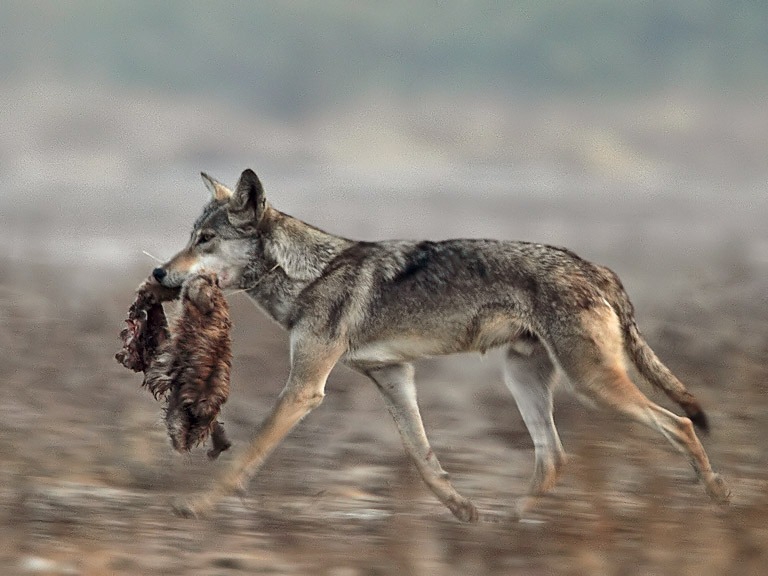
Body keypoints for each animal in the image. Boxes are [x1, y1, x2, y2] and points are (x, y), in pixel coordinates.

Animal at [152, 168, 730, 521]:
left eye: (205, 240)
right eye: (189, 236)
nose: (158, 272)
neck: (305, 275)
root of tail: (598, 269)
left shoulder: (304, 389)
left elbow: (247, 454)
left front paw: (197, 506)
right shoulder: (394, 378)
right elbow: (424, 459)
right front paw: (462, 510)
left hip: (591, 384)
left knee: (678, 423)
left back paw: (718, 493)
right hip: (523, 380)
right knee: (554, 458)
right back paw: (506, 524)